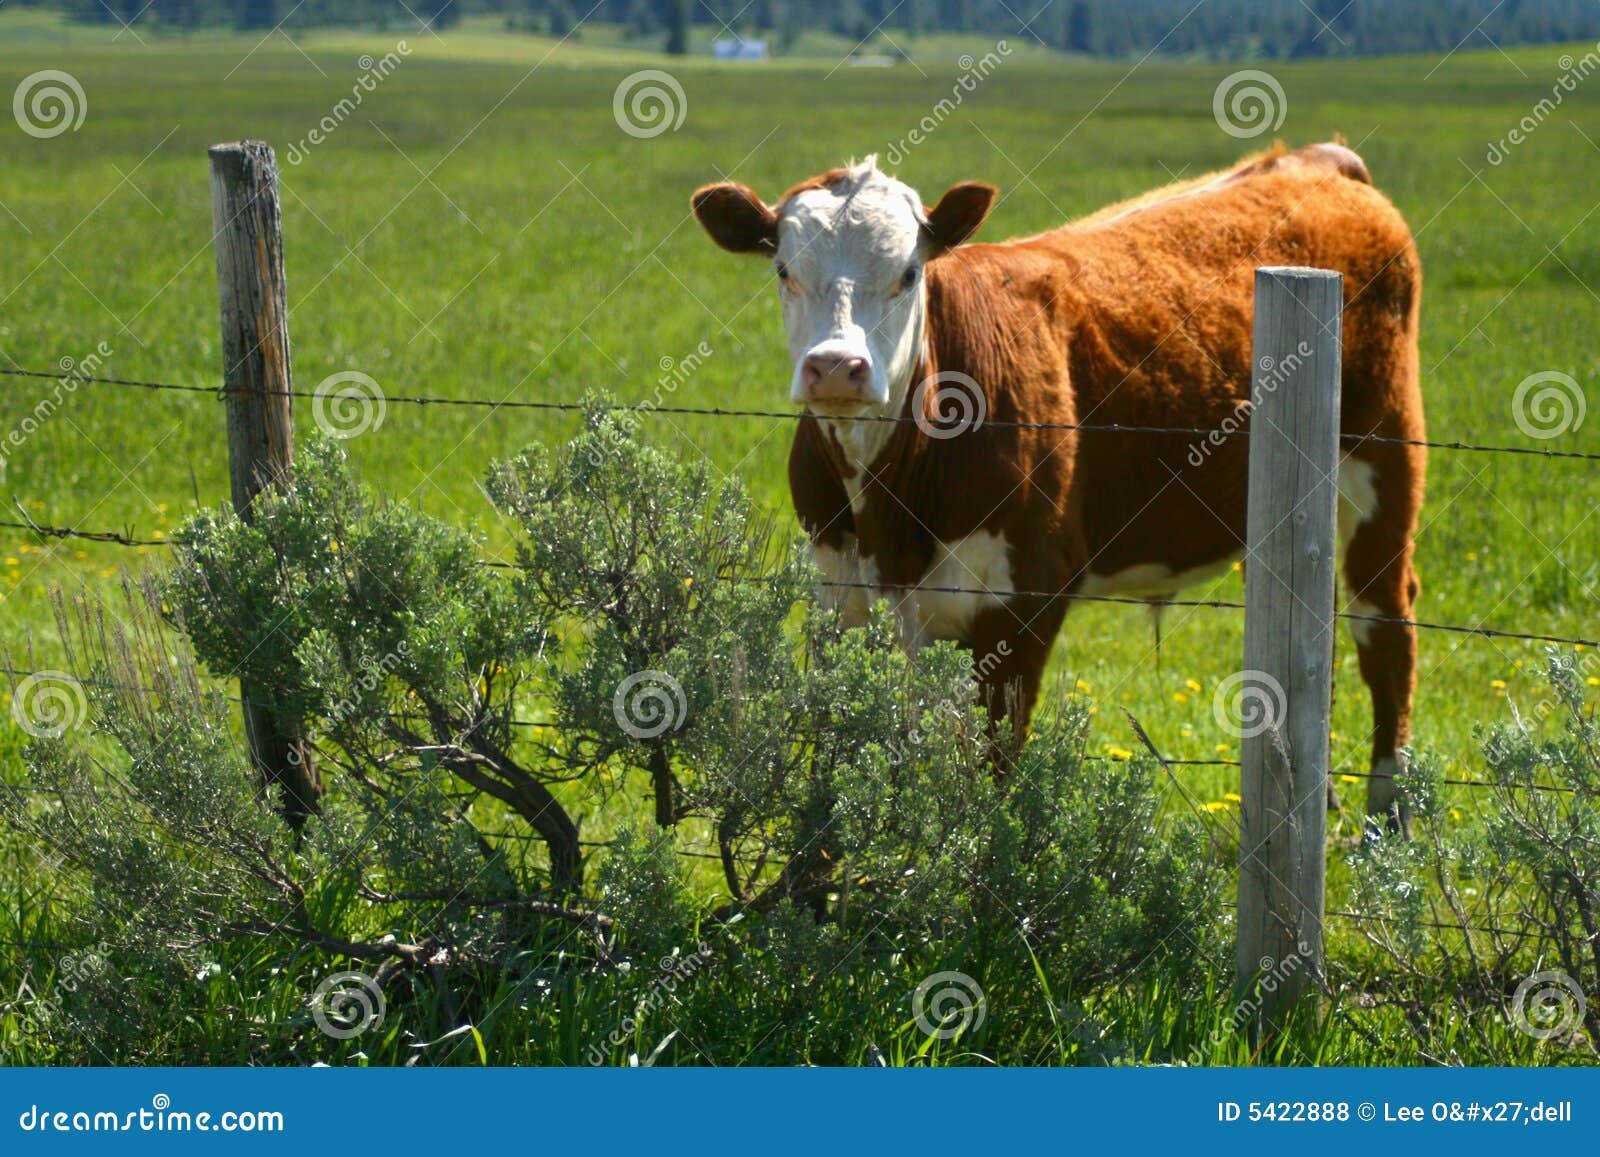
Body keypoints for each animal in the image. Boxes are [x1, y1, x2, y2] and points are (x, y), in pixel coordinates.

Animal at [690, 142, 1424, 831]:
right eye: (784, 271)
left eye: (908, 273)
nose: (838, 367)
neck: (888, 507)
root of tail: (1315, 161)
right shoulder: (838, 589)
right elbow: (839, 744)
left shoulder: (1025, 598)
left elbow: (992, 768)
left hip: (1383, 460)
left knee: (1384, 624)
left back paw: (1384, 820)